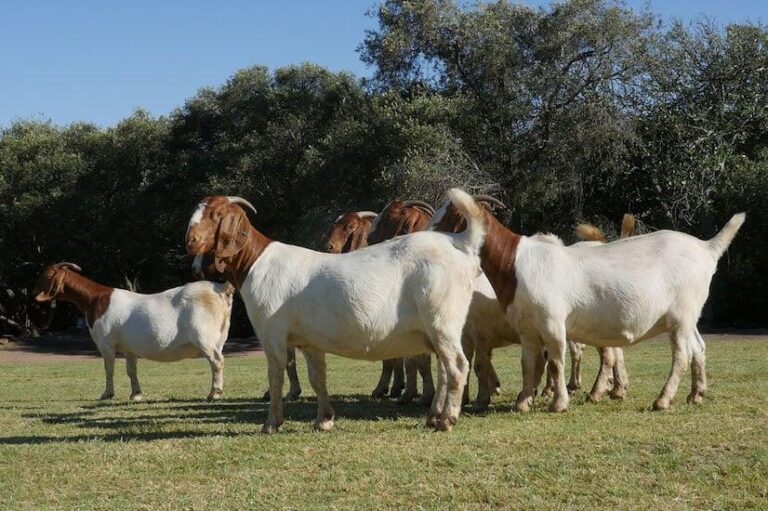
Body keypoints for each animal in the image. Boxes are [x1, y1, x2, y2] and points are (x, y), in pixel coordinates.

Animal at [33, 262, 234, 401]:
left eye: (46, 275)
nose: (35, 295)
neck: (95, 299)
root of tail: (221, 288)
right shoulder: (129, 349)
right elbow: (131, 370)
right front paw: (136, 394)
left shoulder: (106, 344)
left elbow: (109, 369)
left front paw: (107, 394)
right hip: (220, 337)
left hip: (204, 337)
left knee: (216, 360)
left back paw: (214, 393)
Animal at [186, 190, 484, 432]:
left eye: (216, 214)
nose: (191, 241)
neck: (255, 261)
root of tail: (462, 245)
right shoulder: (309, 340)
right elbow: (318, 378)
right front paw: (324, 420)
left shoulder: (273, 333)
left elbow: (277, 375)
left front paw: (271, 424)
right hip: (439, 328)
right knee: (445, 368)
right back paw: (434, 417)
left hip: (441, 319)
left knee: (457, 366)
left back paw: (447, 420)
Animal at [431, 197, 745, 413]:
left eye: (453, 214)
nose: (429, 230)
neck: (515, 262)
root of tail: (706, 249)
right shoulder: (527, 328)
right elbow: (528, 363)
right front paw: (523, 402)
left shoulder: (553, 322)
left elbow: (555, 362)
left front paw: (558, 403)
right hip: (689, 315)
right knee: (698, 347)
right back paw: (696, 394)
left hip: (680, 315)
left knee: (681, 354)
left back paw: (663, 399)